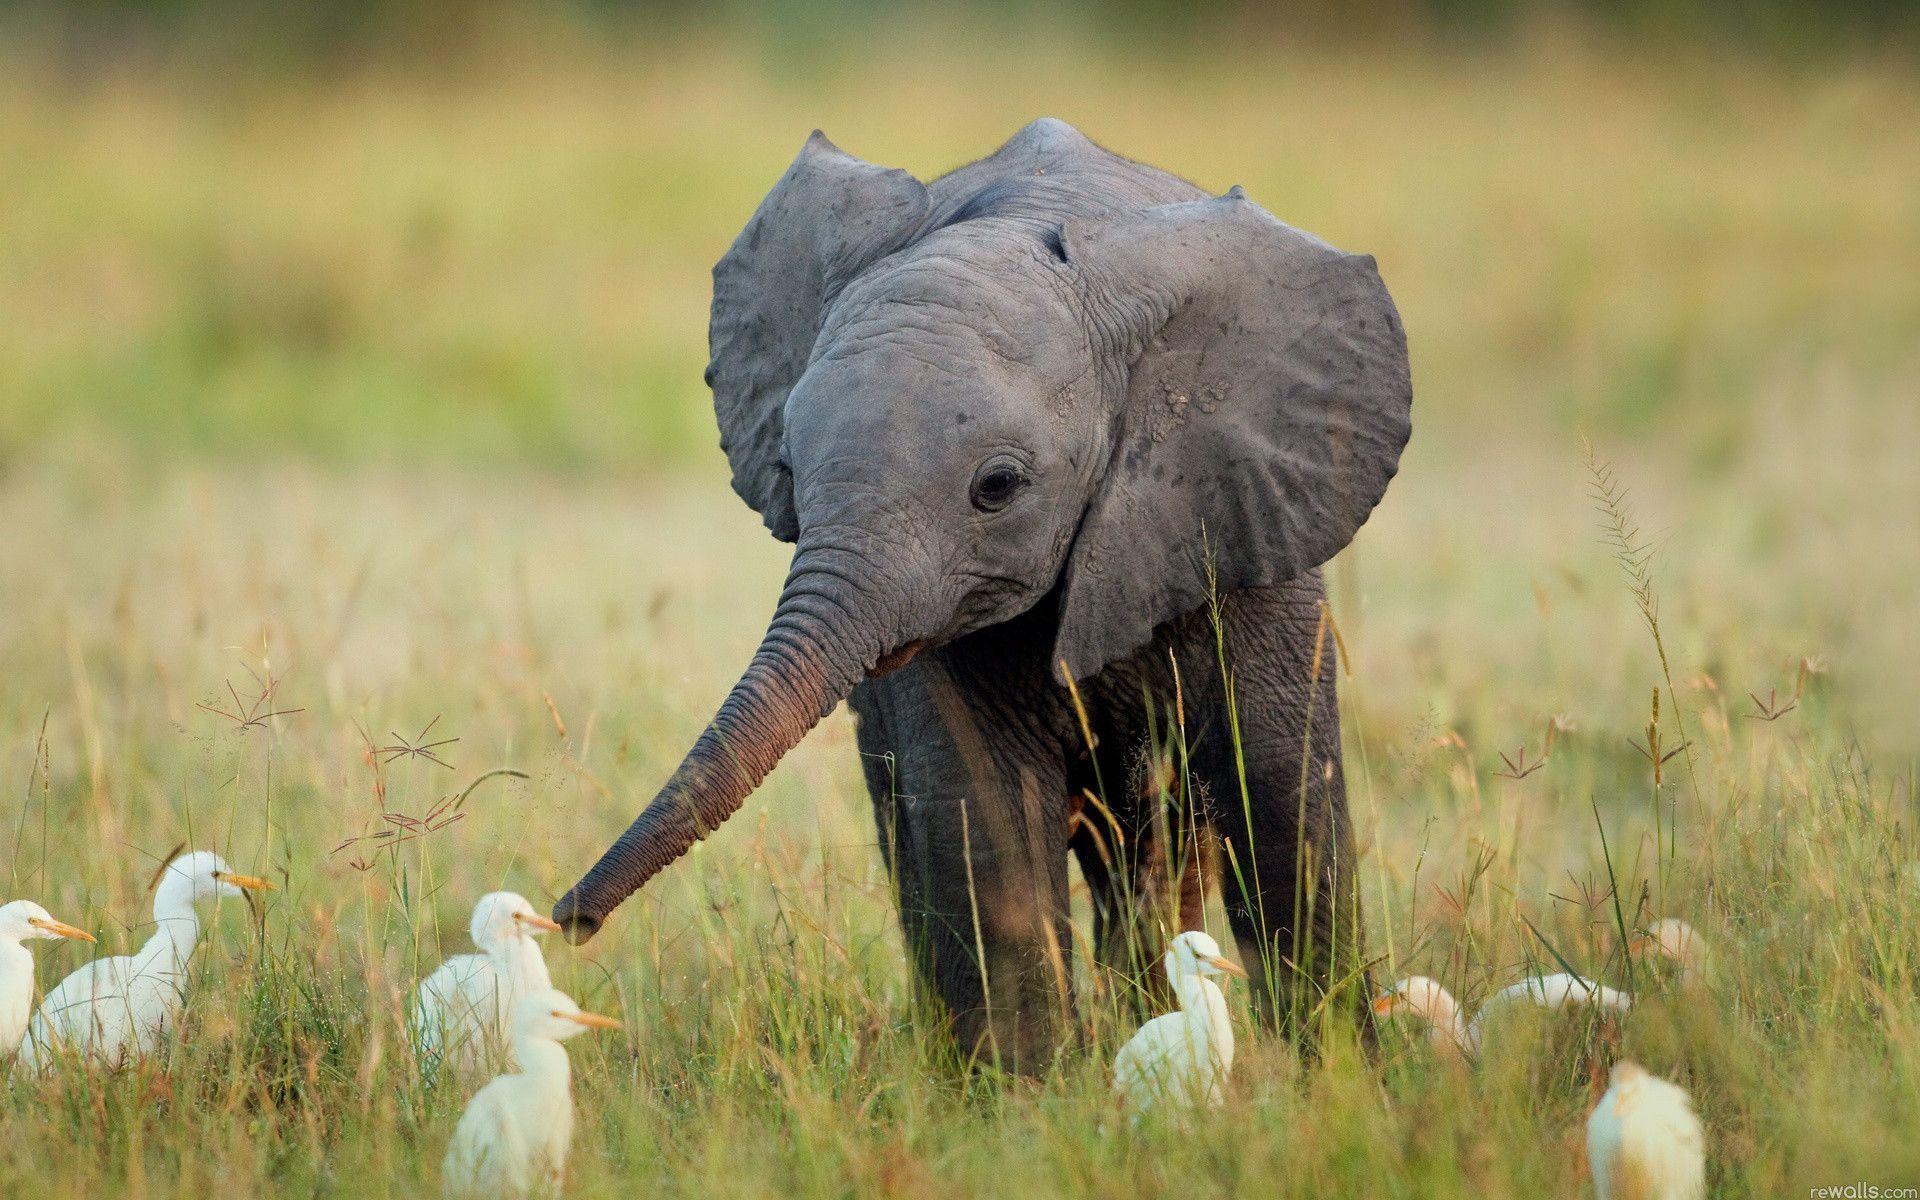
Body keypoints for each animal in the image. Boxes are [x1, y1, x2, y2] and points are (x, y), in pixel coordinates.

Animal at [554, 118, 1412, 1072]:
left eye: (996, 487)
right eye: (787, 469)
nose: (569, 922)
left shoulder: (1246, 514)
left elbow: (1283, 799)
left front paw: (1341, 1079)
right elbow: (982, 816)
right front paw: (1025, 1099)